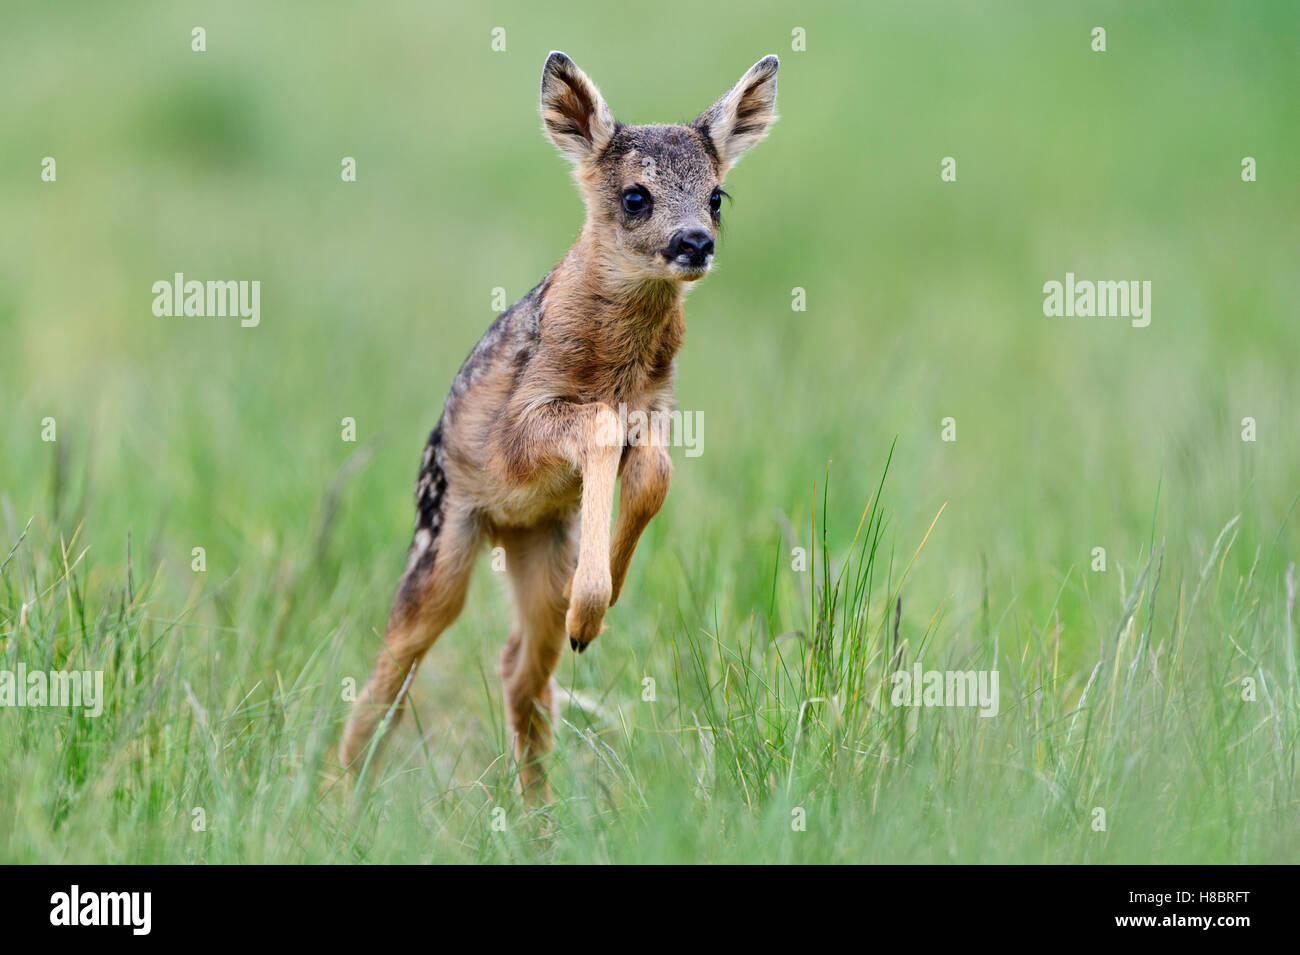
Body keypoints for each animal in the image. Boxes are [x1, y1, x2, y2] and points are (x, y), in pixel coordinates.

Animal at [340, 50, 779, 798]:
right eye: (635, 196)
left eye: (718, 195)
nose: (694, 241)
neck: (616, 366)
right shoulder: (523, 425)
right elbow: (597, 428)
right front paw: (594, 602)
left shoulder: (657, 414)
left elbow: (657, 473)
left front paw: (595, 606)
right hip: (442, 541)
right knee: (396, 661)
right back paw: (336, 792)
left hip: (539, 550)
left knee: (520, 667)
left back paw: (539, 808)